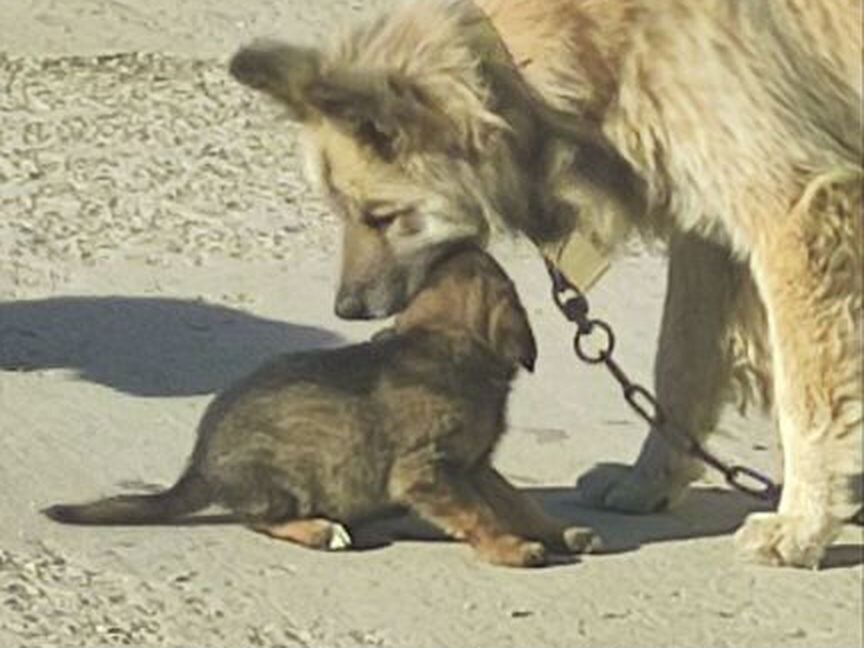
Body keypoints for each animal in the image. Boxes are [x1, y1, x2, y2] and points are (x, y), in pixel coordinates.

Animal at [230, 0, 864, 568]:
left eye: (380, 216)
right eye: (340, 210)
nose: (347, 308)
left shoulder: (796, 212)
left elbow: (807, 396)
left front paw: (803, 526)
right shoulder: (705, 232)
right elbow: (681, 363)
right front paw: (651, 481)